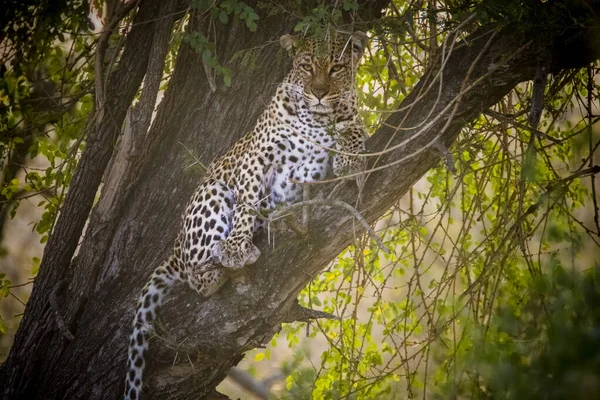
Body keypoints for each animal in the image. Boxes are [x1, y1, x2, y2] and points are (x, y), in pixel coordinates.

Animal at [123, 29, 368, 398]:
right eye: (307, 66)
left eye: (337, 67)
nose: (319, 92)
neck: (316, 118)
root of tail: (175, 251)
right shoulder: (256, 158)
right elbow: (247, 202)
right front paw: (237, 245)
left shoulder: (345, 127)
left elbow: (354, 130)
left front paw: (349, 160)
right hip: (211, 192)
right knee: (198, 277)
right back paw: (216, 268)